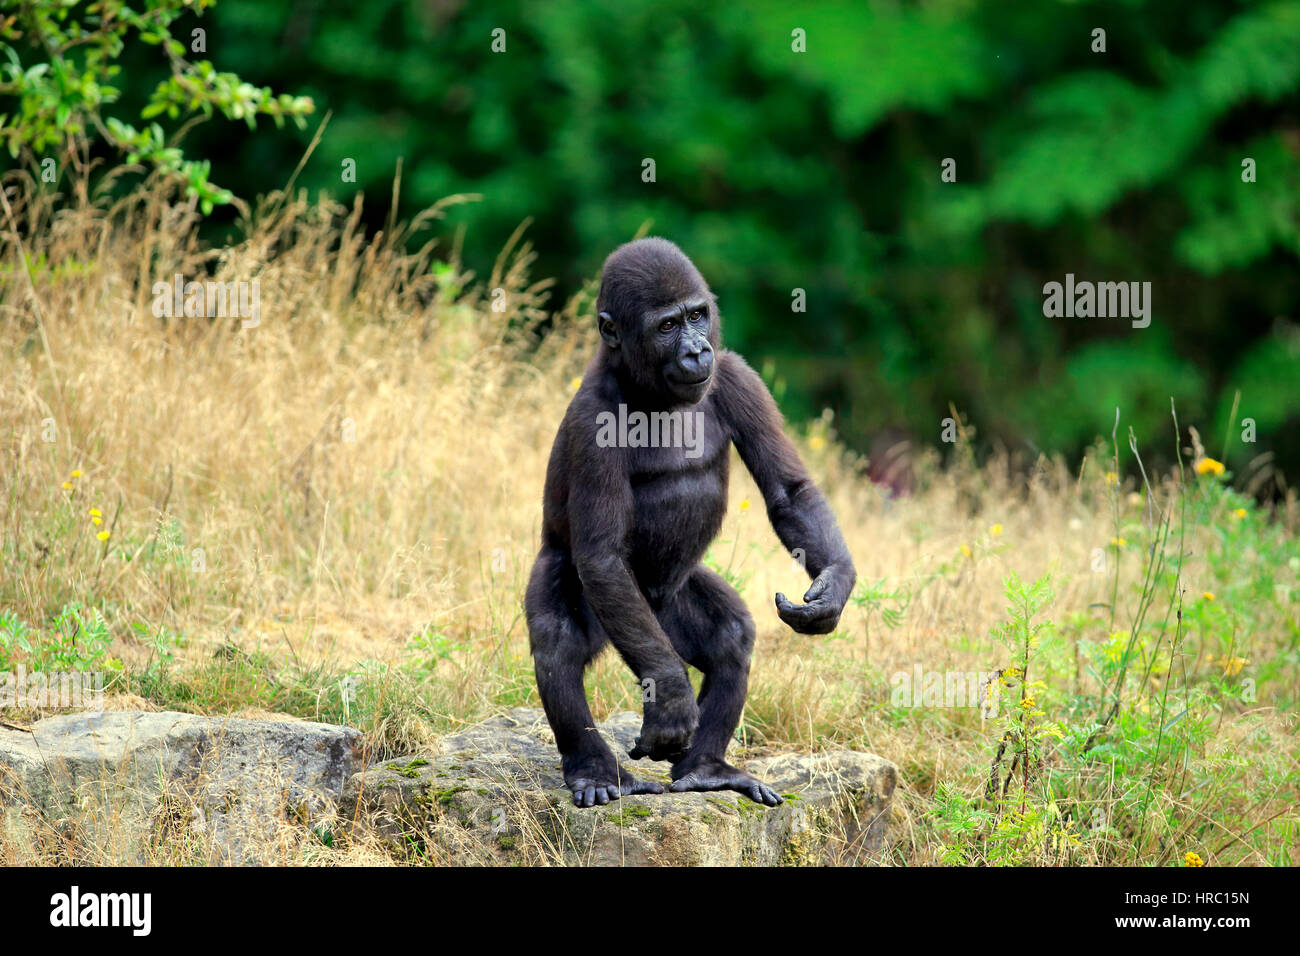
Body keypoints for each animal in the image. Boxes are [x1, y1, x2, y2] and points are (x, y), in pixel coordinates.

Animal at [525, 238, 856, 808]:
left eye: (698, 316)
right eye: (666, 326)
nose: (697, 351)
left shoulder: (738, 376)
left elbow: (789, 492)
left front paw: (833, 584)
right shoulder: (592, 418)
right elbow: (602, 556)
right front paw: (673, 699)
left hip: (668, 609)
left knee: (730, 636)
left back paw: (706, 768)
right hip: (611, 609)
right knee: (558, 642)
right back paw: (596, 771)